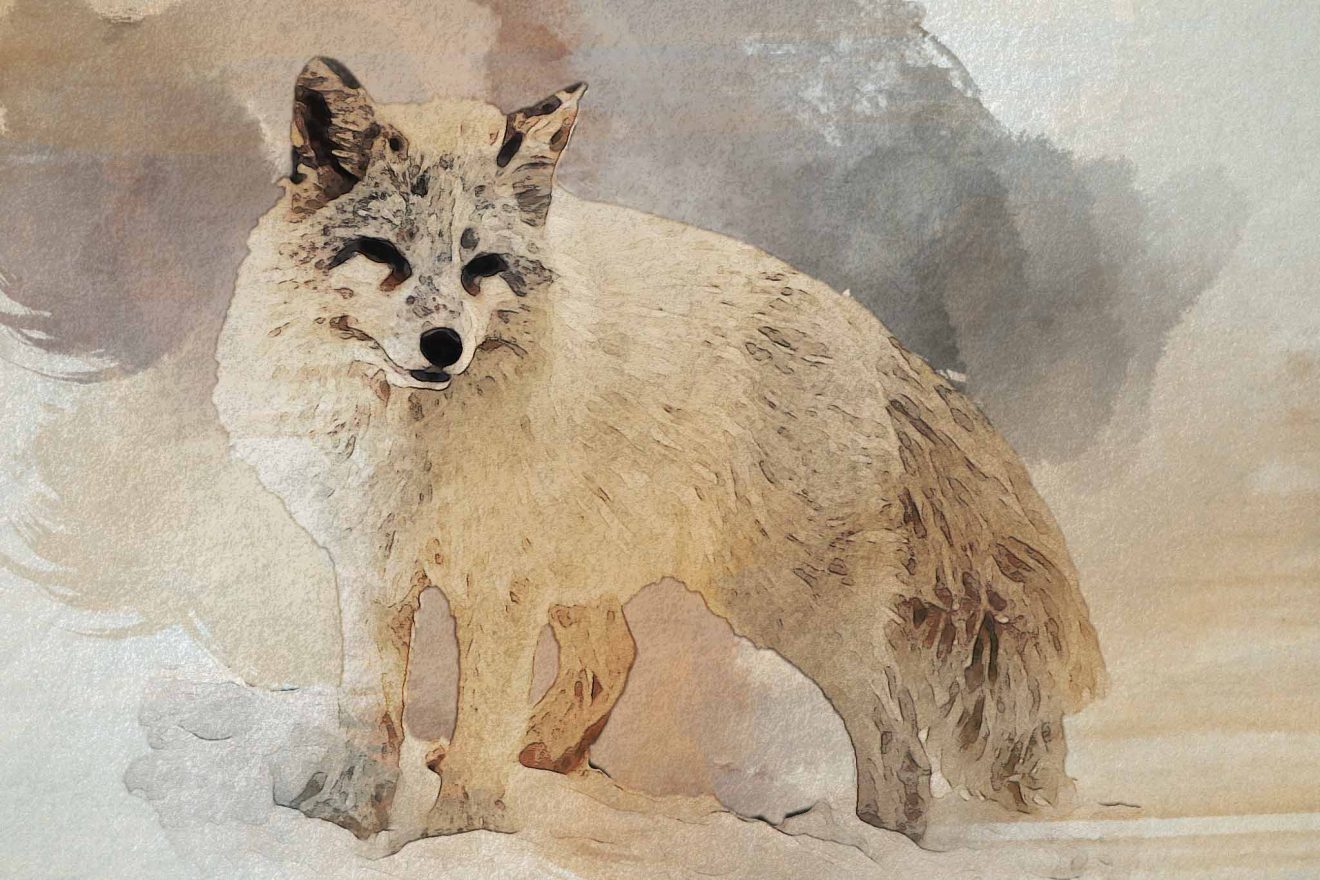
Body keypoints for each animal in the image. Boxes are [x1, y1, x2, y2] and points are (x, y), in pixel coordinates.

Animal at [213, 57, 1106, 845]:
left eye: (481, 266)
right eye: (386, 255)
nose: (443, 346)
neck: (411, 432)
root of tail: (866, 331)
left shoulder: (498, 590)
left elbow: (481, 720)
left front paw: (459, 837)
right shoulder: (376, 569)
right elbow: (370, 713)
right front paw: (344, 820)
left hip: (785, 604)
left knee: (898, 744)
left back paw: (874, 844)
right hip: (597, 575)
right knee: (616, 658)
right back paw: (547, 760)